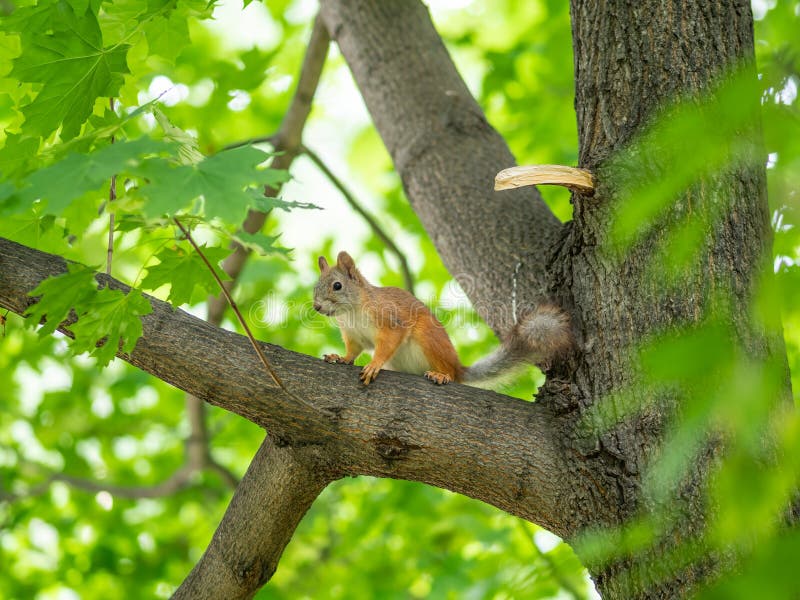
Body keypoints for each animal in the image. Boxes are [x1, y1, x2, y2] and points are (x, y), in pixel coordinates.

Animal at [313, 251, 573, 386]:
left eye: (337, 286)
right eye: (315, 287)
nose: (316, 306)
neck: (352, 312)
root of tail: (459, 368)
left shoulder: (391, 320)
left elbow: (388, 343)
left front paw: (374, 364)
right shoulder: (353, 336)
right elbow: (354, 350)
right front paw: (341, 357)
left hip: (428, 337)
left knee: (447, 370)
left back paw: (442, 374)